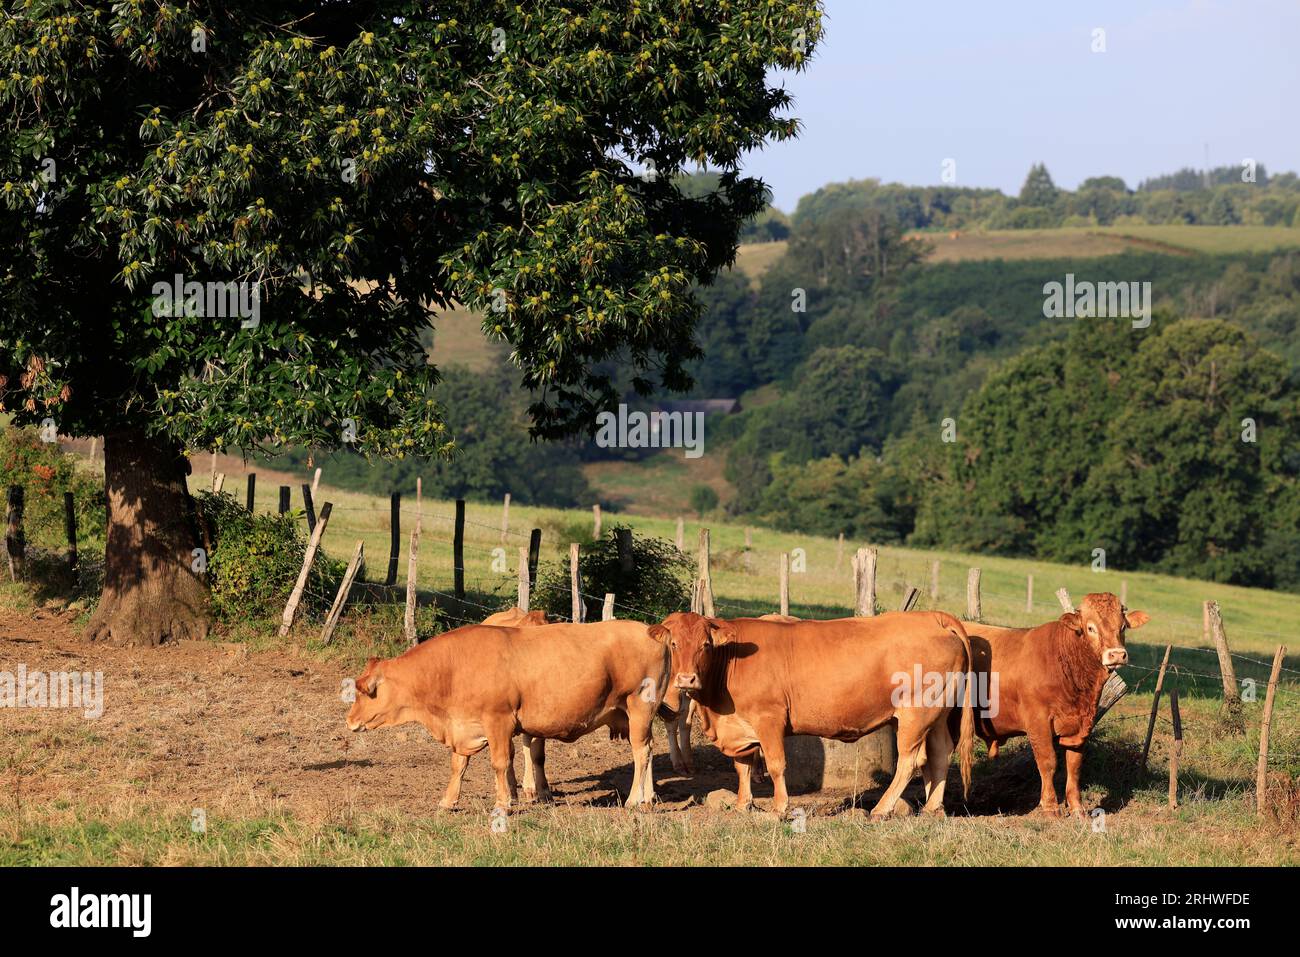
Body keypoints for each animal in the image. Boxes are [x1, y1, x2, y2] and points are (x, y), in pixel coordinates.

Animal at [346, 619, 671, 811]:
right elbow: (458, 765)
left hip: (639, 707)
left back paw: (633, 799)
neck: (453, 667)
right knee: (649, 748)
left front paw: (503, 803)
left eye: (365, 691)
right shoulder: (464, 724)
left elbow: (500, 763)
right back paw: (647, 797)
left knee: (641, 752)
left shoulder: (498, 721)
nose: (350, 721)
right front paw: (448, 801)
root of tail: (649, 631)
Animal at [653, 611, 976, 819]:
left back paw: (881, 809)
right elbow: (742, 766)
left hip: (915, 715)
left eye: (705, 645)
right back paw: (932, 808)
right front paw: (744, 804)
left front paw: (779, 808)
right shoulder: (740, 727)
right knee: (940, 754)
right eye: (674, 644)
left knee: (910, 761)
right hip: (937, 714)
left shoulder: (768, 719)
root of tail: (932, 617)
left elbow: (776, 765)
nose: (687, 680)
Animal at [955, 592, 1149, 817]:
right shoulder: (1038, 722)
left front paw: (1077, 808)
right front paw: (1050, 806)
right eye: (1090, 628)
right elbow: (1048, 762)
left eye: (1123, 627)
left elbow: (1074, 766)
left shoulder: (1081, 727)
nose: (1117, 654)